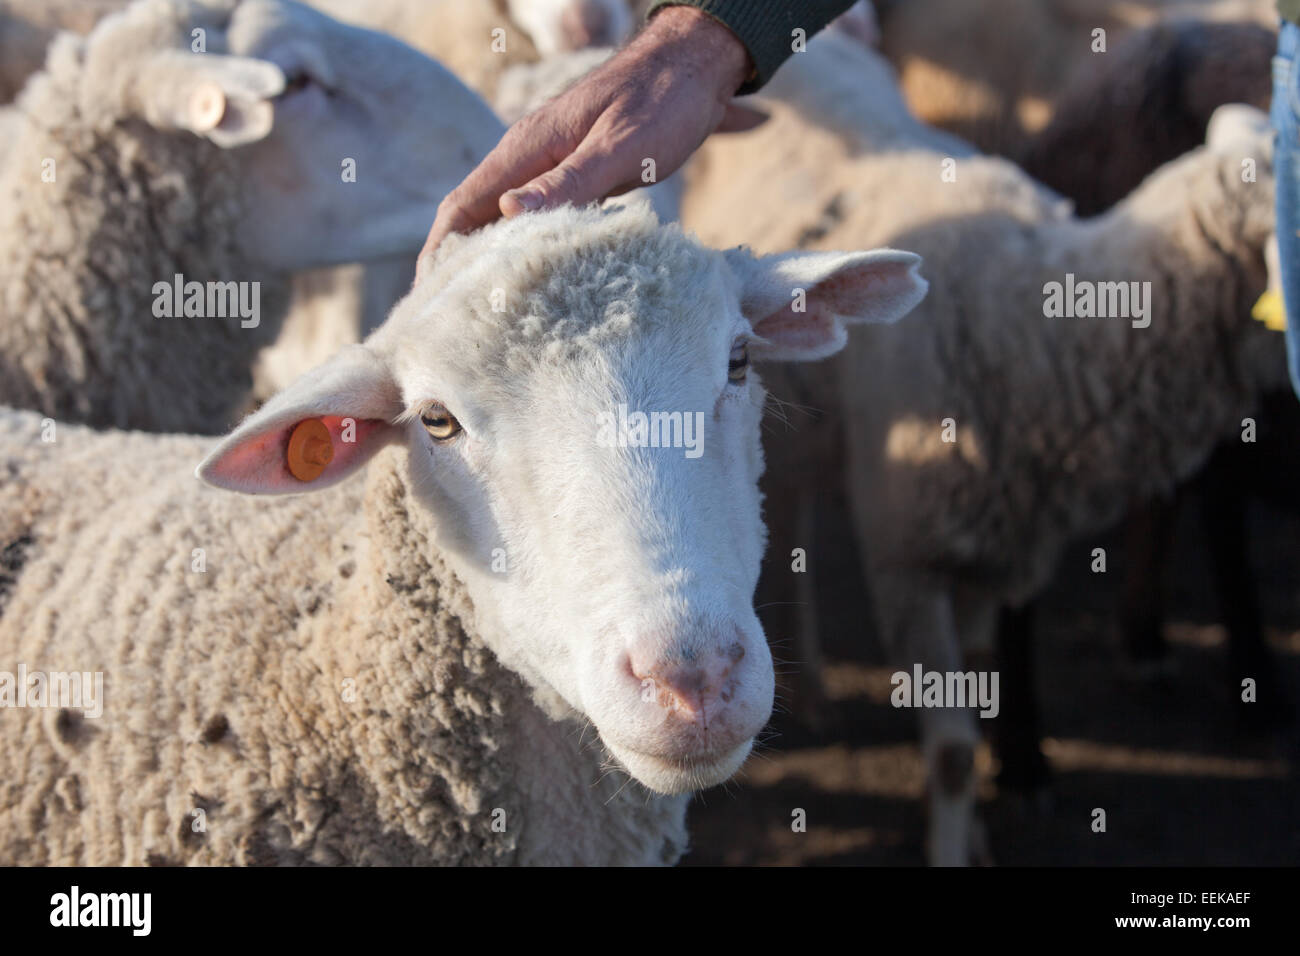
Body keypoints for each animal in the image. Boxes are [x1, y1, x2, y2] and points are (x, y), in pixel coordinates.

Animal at [683, 33, 1280, 863]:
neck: (1028, 322)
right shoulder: (908, 561)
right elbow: (954, 753)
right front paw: (953, 842)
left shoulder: (993, 549)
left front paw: (979, 836)